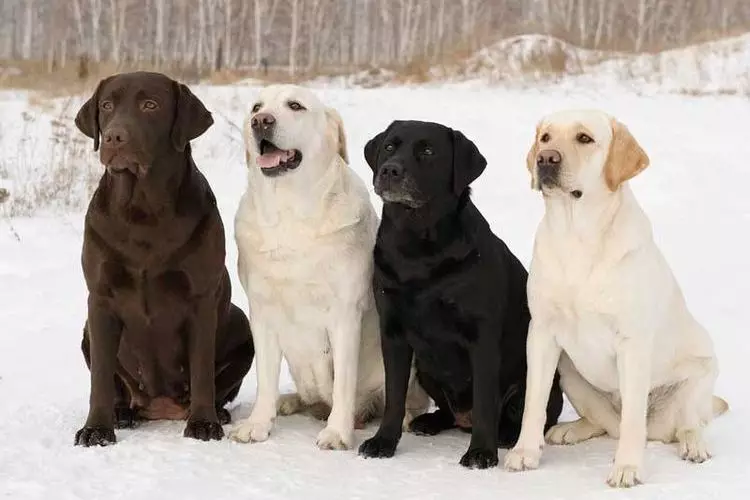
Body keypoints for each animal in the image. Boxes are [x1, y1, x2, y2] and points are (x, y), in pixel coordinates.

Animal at [74, 71, 256, 446]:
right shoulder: (99, 299)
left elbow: (201, 370)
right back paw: (122, 413)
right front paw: (96, 428)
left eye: (150, 105)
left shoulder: (201, 299)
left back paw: (217, 413)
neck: (143, 211)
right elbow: (100, 377)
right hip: (86, 331)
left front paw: (204, 423)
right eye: (107, 105)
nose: (114, 137)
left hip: (242, 324)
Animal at [229, 85, 428, 450]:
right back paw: (289, 401)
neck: (291, 213)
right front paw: (258, 424)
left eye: (295, 106)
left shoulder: (345, 315)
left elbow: (343, 384)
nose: (260, 122)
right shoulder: (262, 313)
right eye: (256, 107)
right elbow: (265, 377)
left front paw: (337, 433)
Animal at [358, 121, 564, 468]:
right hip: (426, 369)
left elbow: (484, 401)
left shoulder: (481, 338)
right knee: (448, 412)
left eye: (428, 151)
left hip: (532, 382)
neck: (417, 247)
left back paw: (505, 435)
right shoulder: (393, 333)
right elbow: (394, 396)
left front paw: (481, 452)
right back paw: (429, 421)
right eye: (389, 147)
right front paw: (383, 441)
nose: (390, 170)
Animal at [506, 108, 728, 484]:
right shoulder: (541, 334)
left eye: (584, 138)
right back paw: (570, 430)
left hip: (700, 374)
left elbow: (633, 422)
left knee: (684, 425)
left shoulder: (632, 341)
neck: (576, 234)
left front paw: (627, 467)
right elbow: (532, 404)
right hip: (569, 371)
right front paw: (525, 452)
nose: (545, 159)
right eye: (546, 137)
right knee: (607, 424)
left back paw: (693, 446)